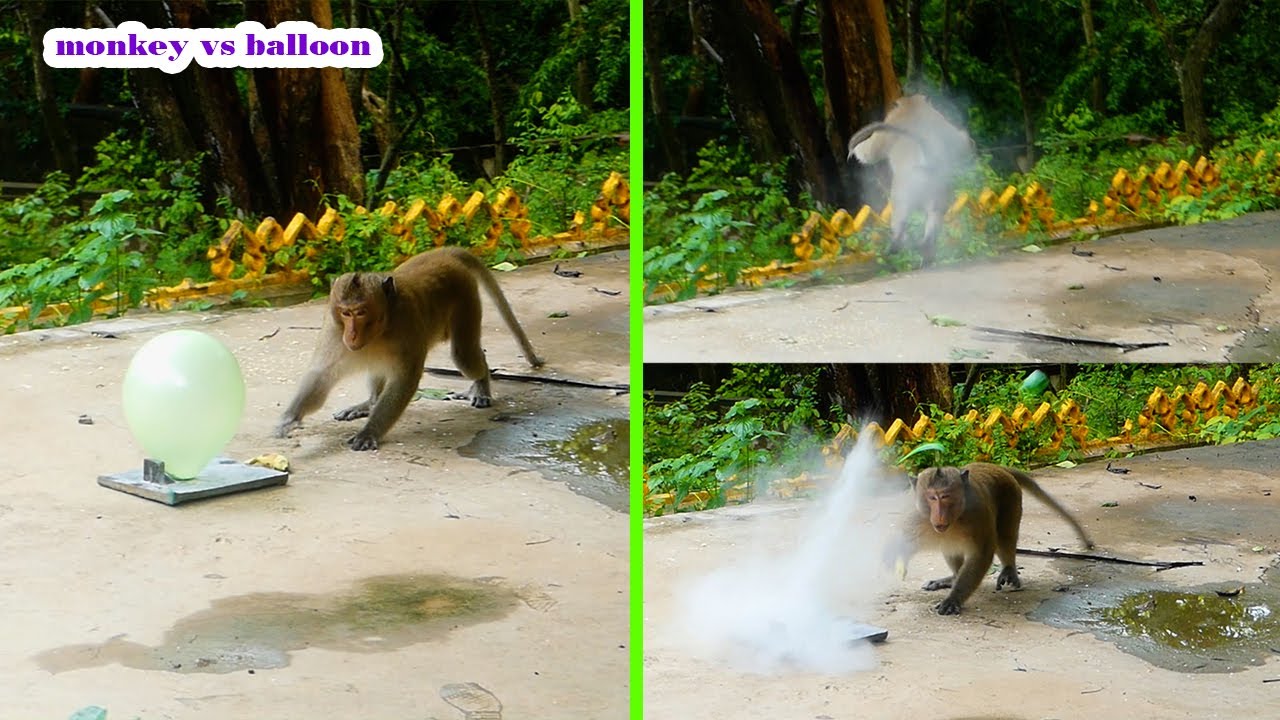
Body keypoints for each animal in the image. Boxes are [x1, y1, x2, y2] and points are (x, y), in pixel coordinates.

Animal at [273, 247, 543, 451]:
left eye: (360, 312)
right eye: (345, 312)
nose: (351, 334)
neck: (385, 321)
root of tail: (443, 253)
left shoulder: (408, 324)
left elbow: (404, 380)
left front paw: (370, 432)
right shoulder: (333, 329)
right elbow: (322, 374)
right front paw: (290, 417)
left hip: (466, 298)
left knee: (464, 355)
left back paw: (481, 384)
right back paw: (368, 404)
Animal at [846, 94, 974, 264]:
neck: (912, 106)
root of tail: (926, 162)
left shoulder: (891, 121)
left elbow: (870, 152)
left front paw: (854, 150)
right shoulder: (939, 118)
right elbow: (960, 142)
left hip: (904, 192)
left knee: (900, 217)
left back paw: (895, 246)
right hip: (937, 190)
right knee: (934, 215)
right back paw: (925, 247)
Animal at [894, 463, 1094, 616]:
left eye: (945, 496)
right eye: (932, 497)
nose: (940, 516)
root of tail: (996, 466)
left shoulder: (978, 512)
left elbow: (982, 554)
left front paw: (953, 599)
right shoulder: (915, 513)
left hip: (1011, 496)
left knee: (1005, 535)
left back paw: (1008, 568)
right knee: (951, 545)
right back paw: (953, 577)